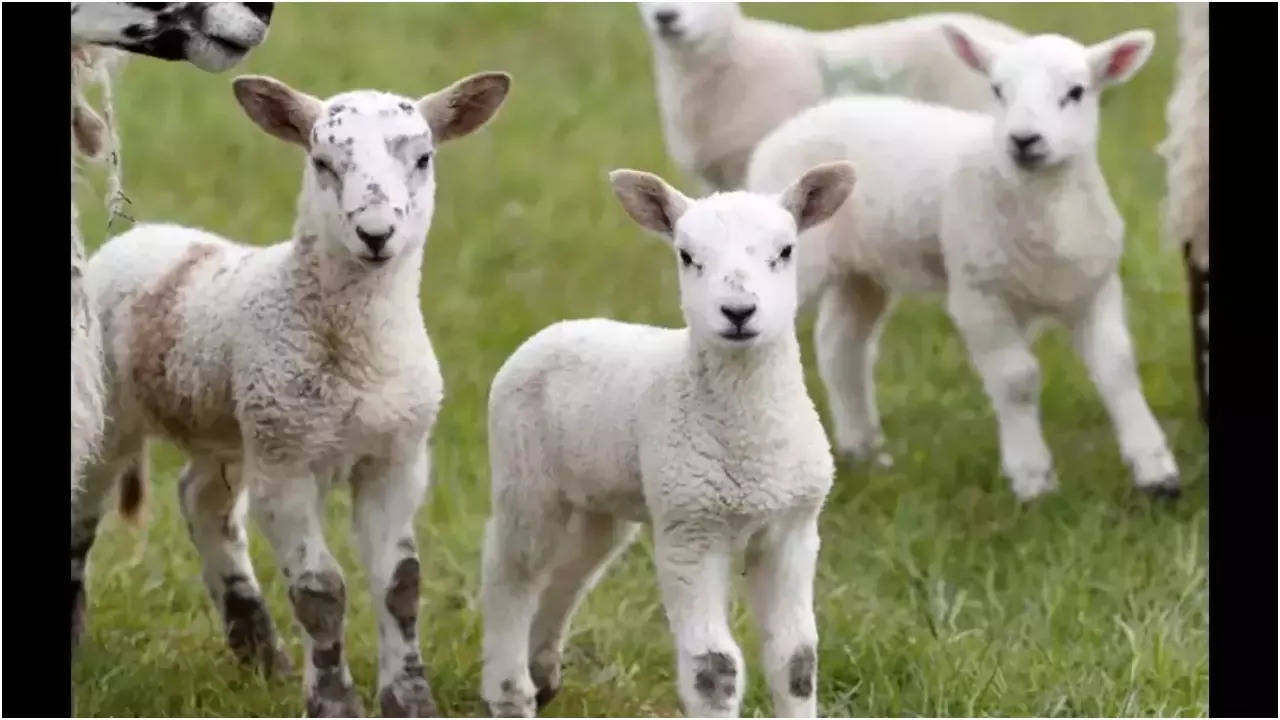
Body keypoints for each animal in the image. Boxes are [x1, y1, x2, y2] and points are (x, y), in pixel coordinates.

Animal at [75, 70, 511, 717]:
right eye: (323, 161)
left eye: (423, 158)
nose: (376, 235)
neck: (358, 351)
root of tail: (138, 237)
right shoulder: (287, 464)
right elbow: (320, 590)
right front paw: (334, 701)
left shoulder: (397, 456)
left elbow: (402, 584)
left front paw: (410, 699)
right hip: (115, 417)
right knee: (81, 515)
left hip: (237, 427)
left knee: (203, 500)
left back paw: (261, 653)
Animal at [480, 161, 855, 718]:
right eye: (687, 256)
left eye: (786, 250)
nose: (738, 311)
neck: (750, 440)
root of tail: (558, 327)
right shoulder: (690, 529)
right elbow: (714, 669)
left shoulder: (792, 529)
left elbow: (797, 660)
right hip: (524, 473)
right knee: (511, 573)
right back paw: (510, 691)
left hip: (600, 499)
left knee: (571, 571)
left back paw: (542, 671)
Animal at [745, 26, 1180, 501]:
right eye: (997, 90)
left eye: (1076, 91)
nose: (1023, 140)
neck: (1047, 211)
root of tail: (796, 124)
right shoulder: (978, 295)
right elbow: (1017, 379)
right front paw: (1033, 479)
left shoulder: (1093, 288)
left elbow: (1118, 370)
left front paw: (1156, 473)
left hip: (863, 272)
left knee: (841, 346)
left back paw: (866, 450)